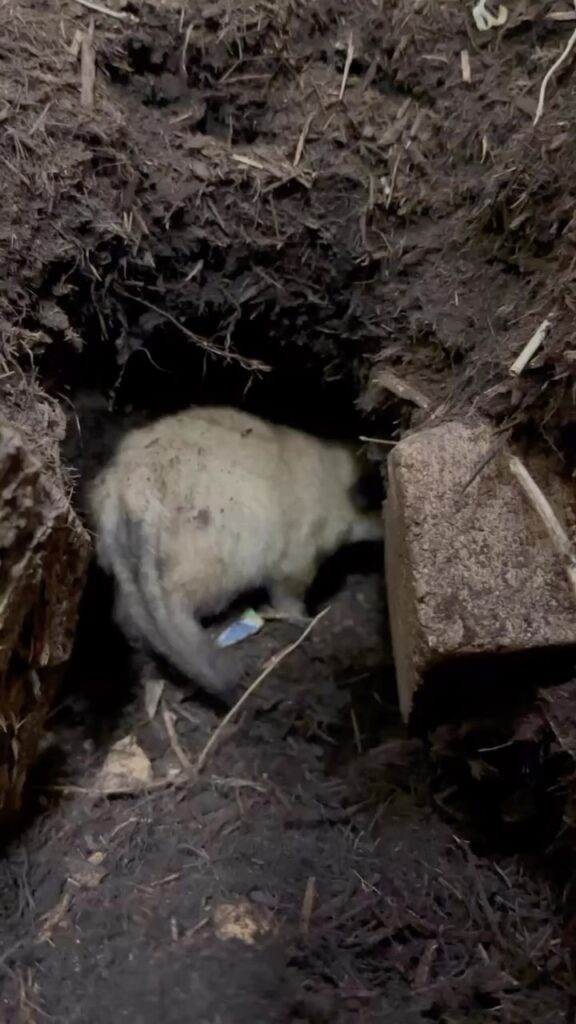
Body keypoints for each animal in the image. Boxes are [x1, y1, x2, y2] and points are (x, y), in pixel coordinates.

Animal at [86, 405, 383, 698]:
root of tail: (131, 489)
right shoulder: (297, 562)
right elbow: (289, 601)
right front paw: (302, 620)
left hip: (128, 573)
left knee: (129, 618)